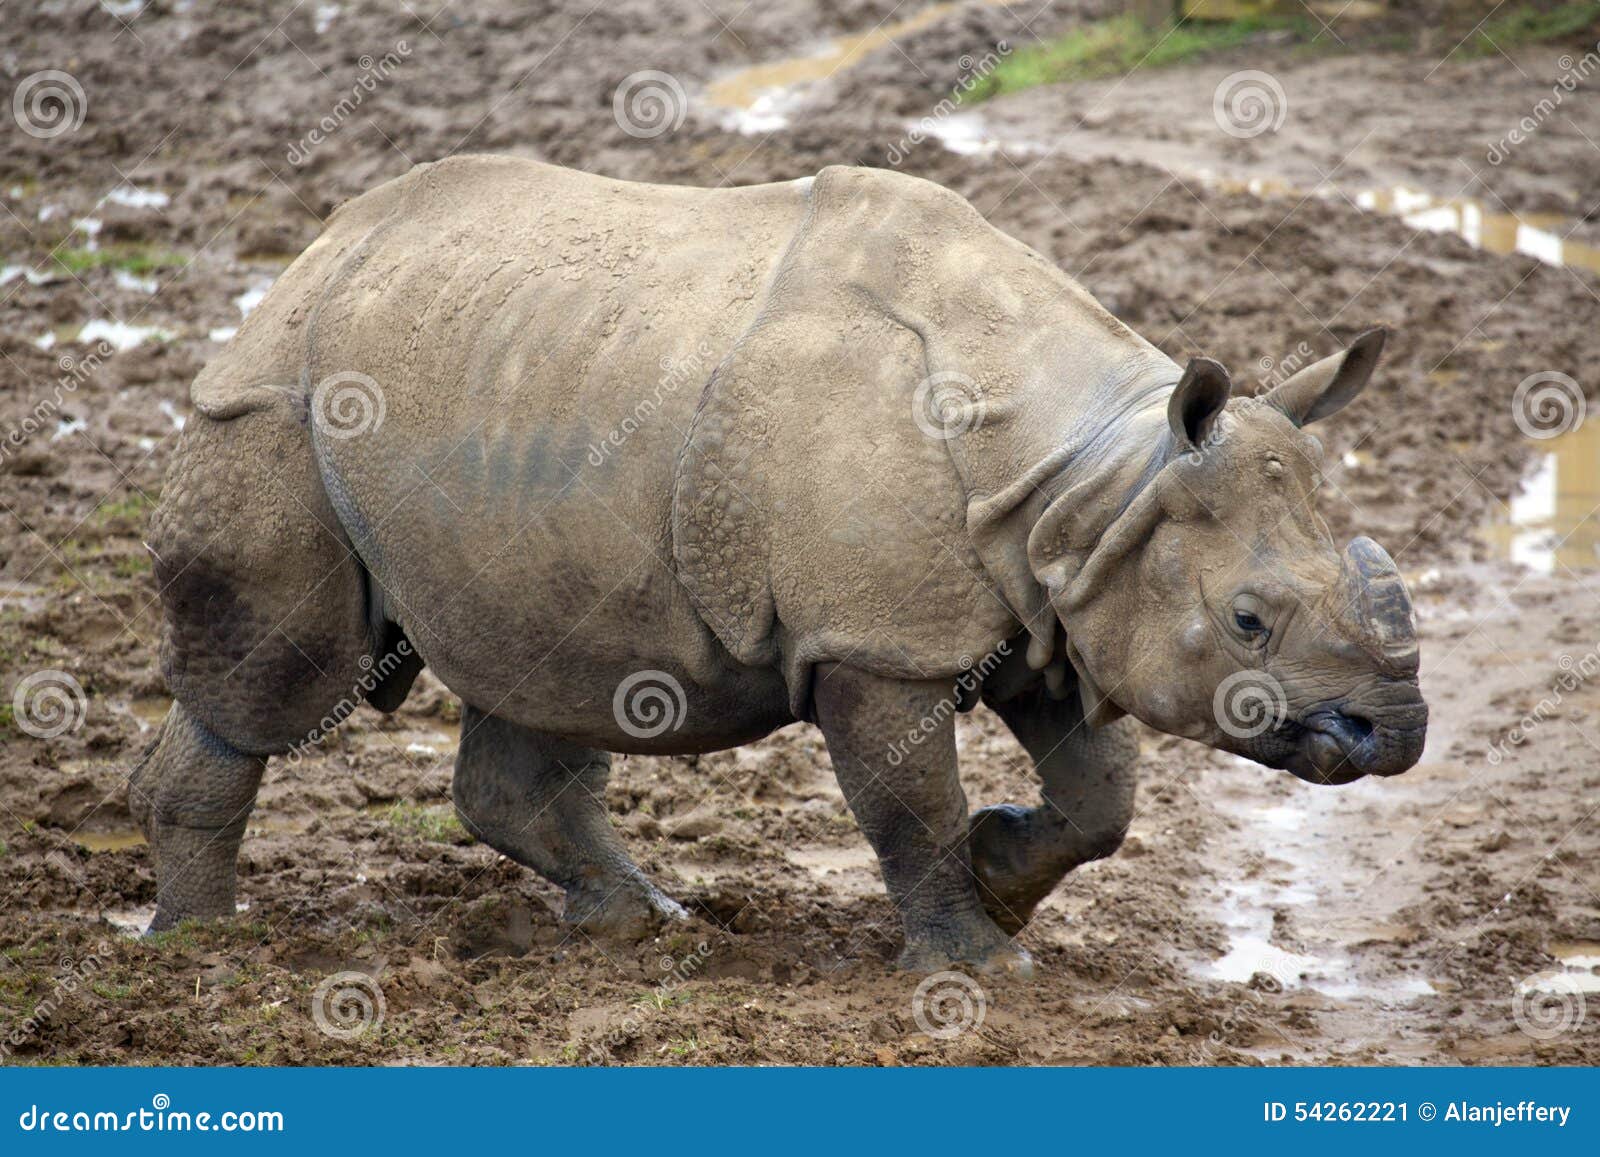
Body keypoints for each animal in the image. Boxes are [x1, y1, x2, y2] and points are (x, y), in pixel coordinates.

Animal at [131, 157, 1426, 972]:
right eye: (1250, 620)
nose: (1396, 733)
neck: (1097, 469)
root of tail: (306, 259)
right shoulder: (878, 638)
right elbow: (911, 803)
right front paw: (979, 968)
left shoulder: (1060, 588)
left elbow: (1103, 796)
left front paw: (1005, 875)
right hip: (278, 409)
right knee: (272, 687)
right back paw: (204, 946)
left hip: (506, 394)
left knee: (541, 669)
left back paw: (642, 923)